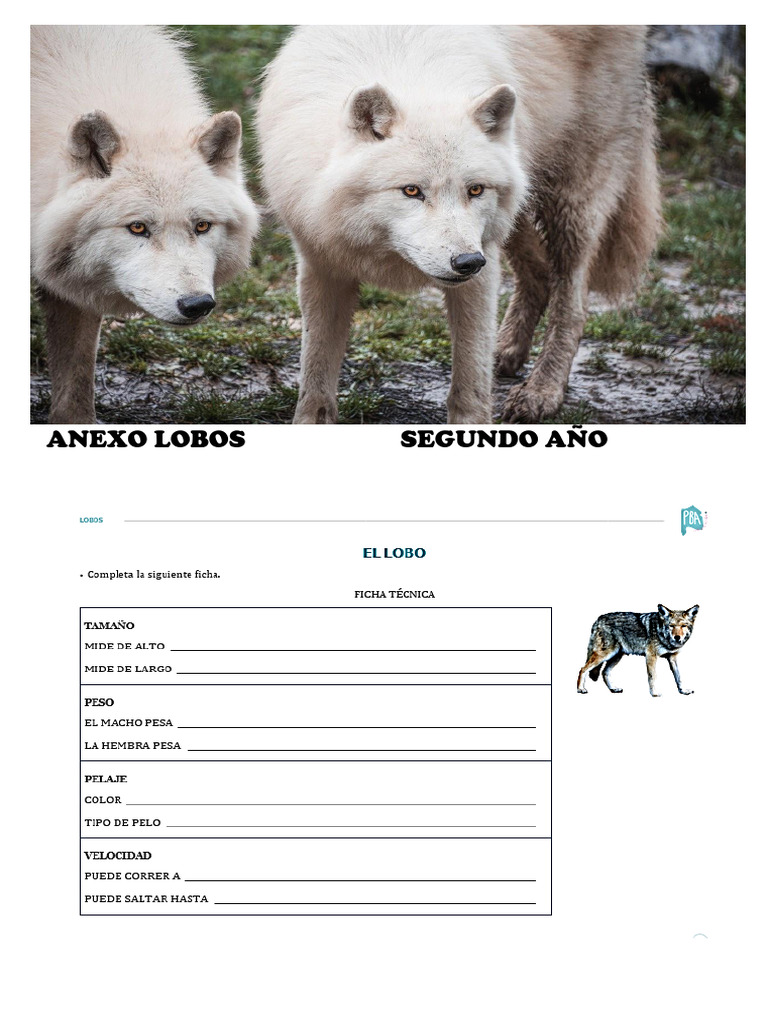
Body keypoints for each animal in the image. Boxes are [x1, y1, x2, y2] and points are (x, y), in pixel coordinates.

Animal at [256, 25, 660, 424]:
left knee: (574, 306)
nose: (468, 262)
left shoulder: (481, 271)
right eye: (412, 190)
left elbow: (470, 379)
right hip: (513, 219)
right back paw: (506, 352)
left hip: (568, 207)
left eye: (475, 189)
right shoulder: (322, 262)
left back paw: (541, 392)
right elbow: (316, 373)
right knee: (539, 275)